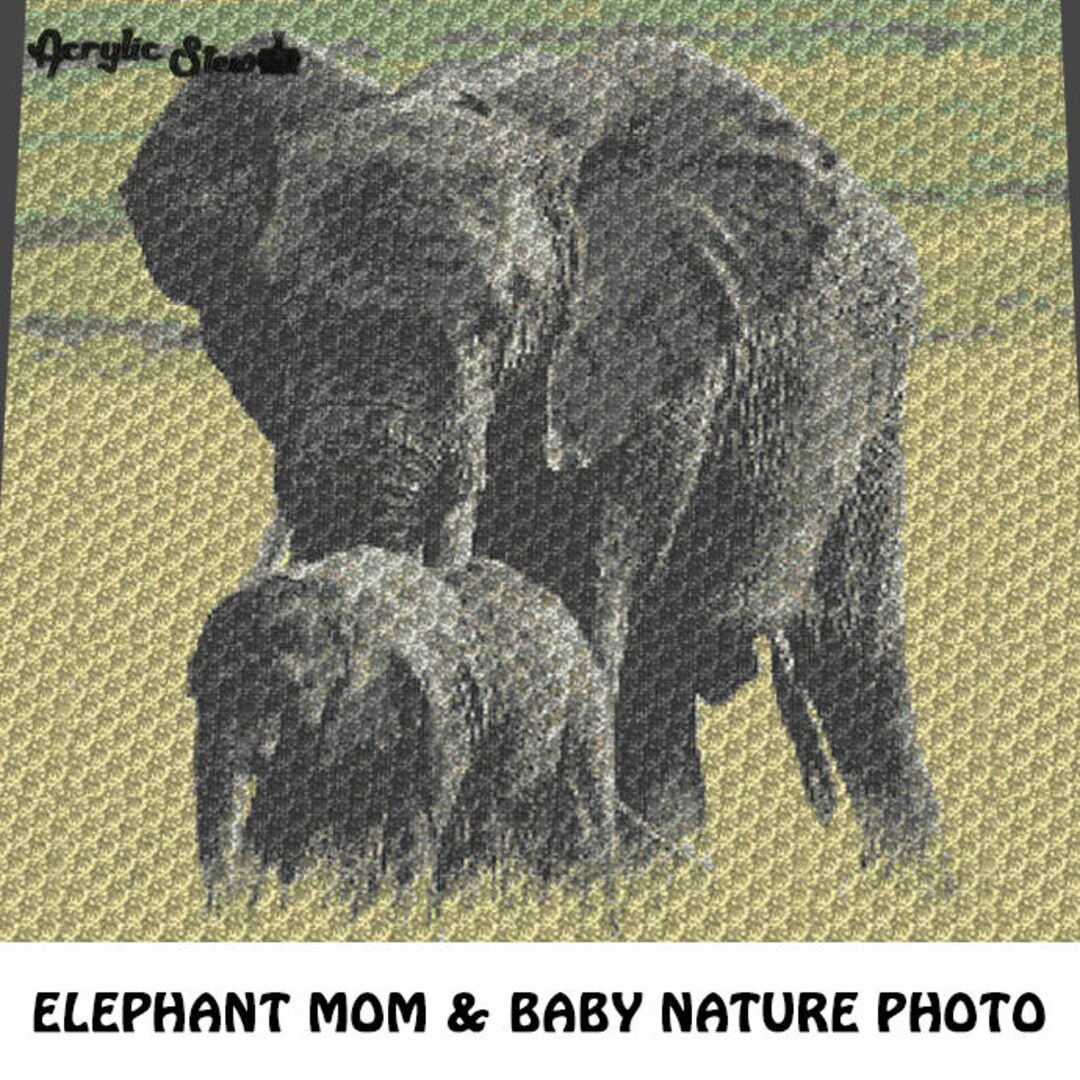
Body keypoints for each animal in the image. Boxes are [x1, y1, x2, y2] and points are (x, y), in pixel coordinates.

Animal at [122, 30, 940, 893]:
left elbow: (578, 587)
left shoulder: (651, 357)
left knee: (853, 660)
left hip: (872, 394)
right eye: (280, 305)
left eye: (500, 315)